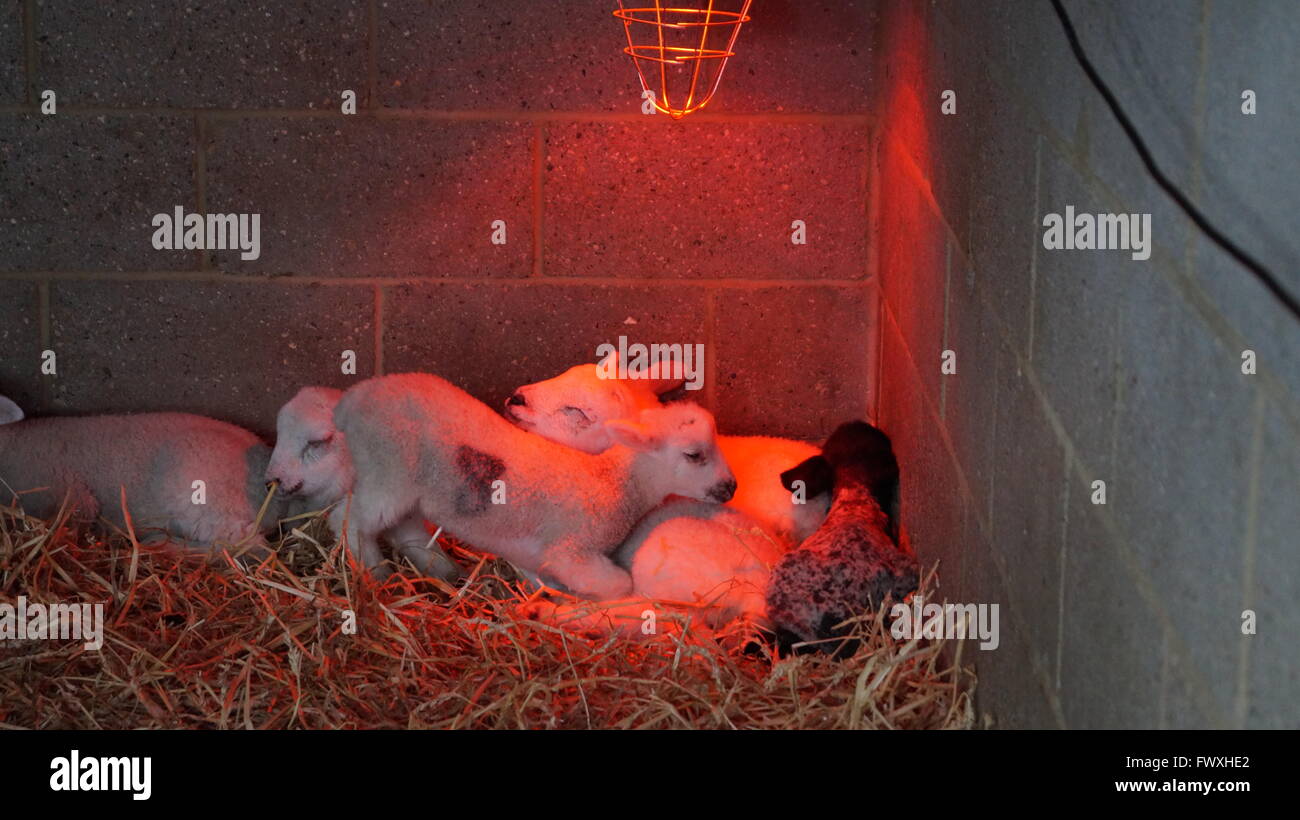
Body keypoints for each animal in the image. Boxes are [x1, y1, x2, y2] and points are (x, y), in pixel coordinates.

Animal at [331, 372, 737, 600]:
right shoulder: (570, 549)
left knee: (404, 526)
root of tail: (351, 400)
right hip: (387, 467)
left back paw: (442, 571)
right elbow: (619, 584)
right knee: (348, 518)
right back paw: (373, 573)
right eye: (694, 454)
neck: (611, 481)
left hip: (409, 486)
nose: (730, 487)